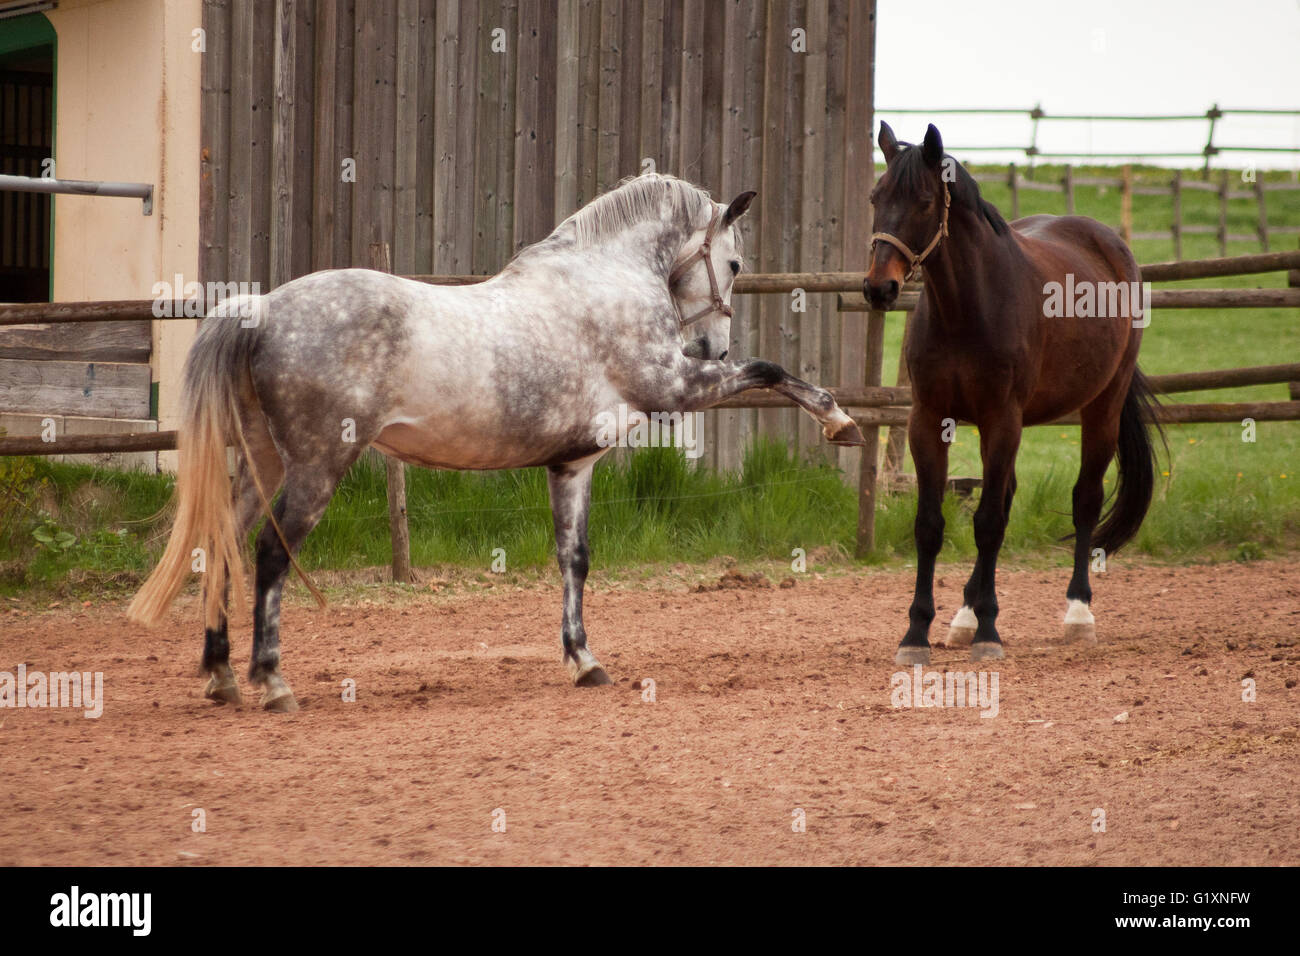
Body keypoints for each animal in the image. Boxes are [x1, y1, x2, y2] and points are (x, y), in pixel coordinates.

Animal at [129, 173, 865, 711]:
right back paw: (271, 680)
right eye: (734, 262)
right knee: (270, 552)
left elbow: (575, 560)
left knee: (222, 545)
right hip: (317, 465)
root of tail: (259, 310)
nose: (713, 346)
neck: (606, 281)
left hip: (265, 460)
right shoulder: (674, 388)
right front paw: (840, 421)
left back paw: (221, 676)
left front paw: (584, 662)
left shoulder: (573, 464)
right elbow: (769, 372)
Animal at [863, 123, 1162, 665]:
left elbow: (987, 523)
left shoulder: (1001, 419)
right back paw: (965, 616)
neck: (966, 309)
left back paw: (1078, 614)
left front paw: (989, 633)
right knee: (1006, 497)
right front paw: (918, 634)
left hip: (1102, 406)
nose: (879, 288)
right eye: (877, 197)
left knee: (1085, 499)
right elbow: (931, 525)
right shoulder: (929, 420)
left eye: (922, 201)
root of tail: (1111, 244)